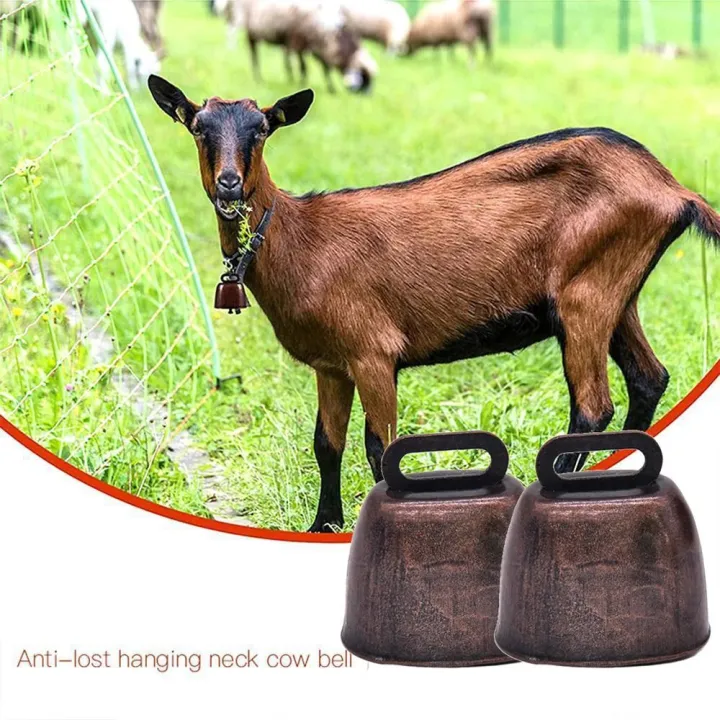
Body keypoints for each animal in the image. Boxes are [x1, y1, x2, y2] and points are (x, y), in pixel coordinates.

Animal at [149, 76, 720, 531]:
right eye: (198, 128)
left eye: (262, 129)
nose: (229, 185)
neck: (301, 240)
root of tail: (674, 189)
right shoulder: (331, 364)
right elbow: (326, 445)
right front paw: (322, 525)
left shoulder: (373, 352)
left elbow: (380, 447)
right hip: (618, 294)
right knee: (648, 377)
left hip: (586, 296)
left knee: (593, 406)